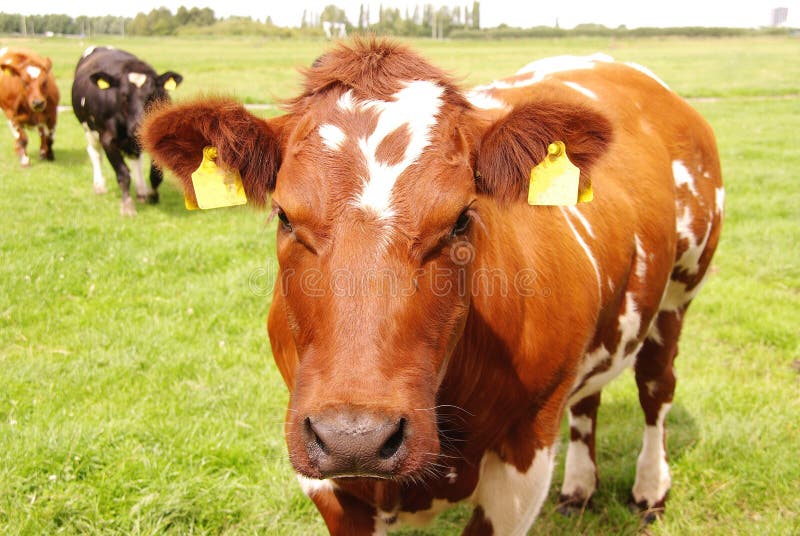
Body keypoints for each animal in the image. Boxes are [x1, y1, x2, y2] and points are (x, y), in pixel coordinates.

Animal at [72, 46, 182, 216]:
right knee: (95, 153)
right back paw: (99, 186)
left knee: (135, 158)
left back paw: (141, 190)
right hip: (89, 130)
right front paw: (127, 206)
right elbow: (123, 174)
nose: (138, 127)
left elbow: (156, 174)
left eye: (151, 94)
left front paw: (153, 195)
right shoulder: (108, 140)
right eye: (124, 95)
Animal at [142, 38, 724, 534]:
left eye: (463, 218)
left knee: (655, 386)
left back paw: (650, 489)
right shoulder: (323, 474)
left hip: (681, 289)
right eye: (284, 215)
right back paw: (579, 489)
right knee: (589, 398)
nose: (356, 438)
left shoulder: (524, 458)